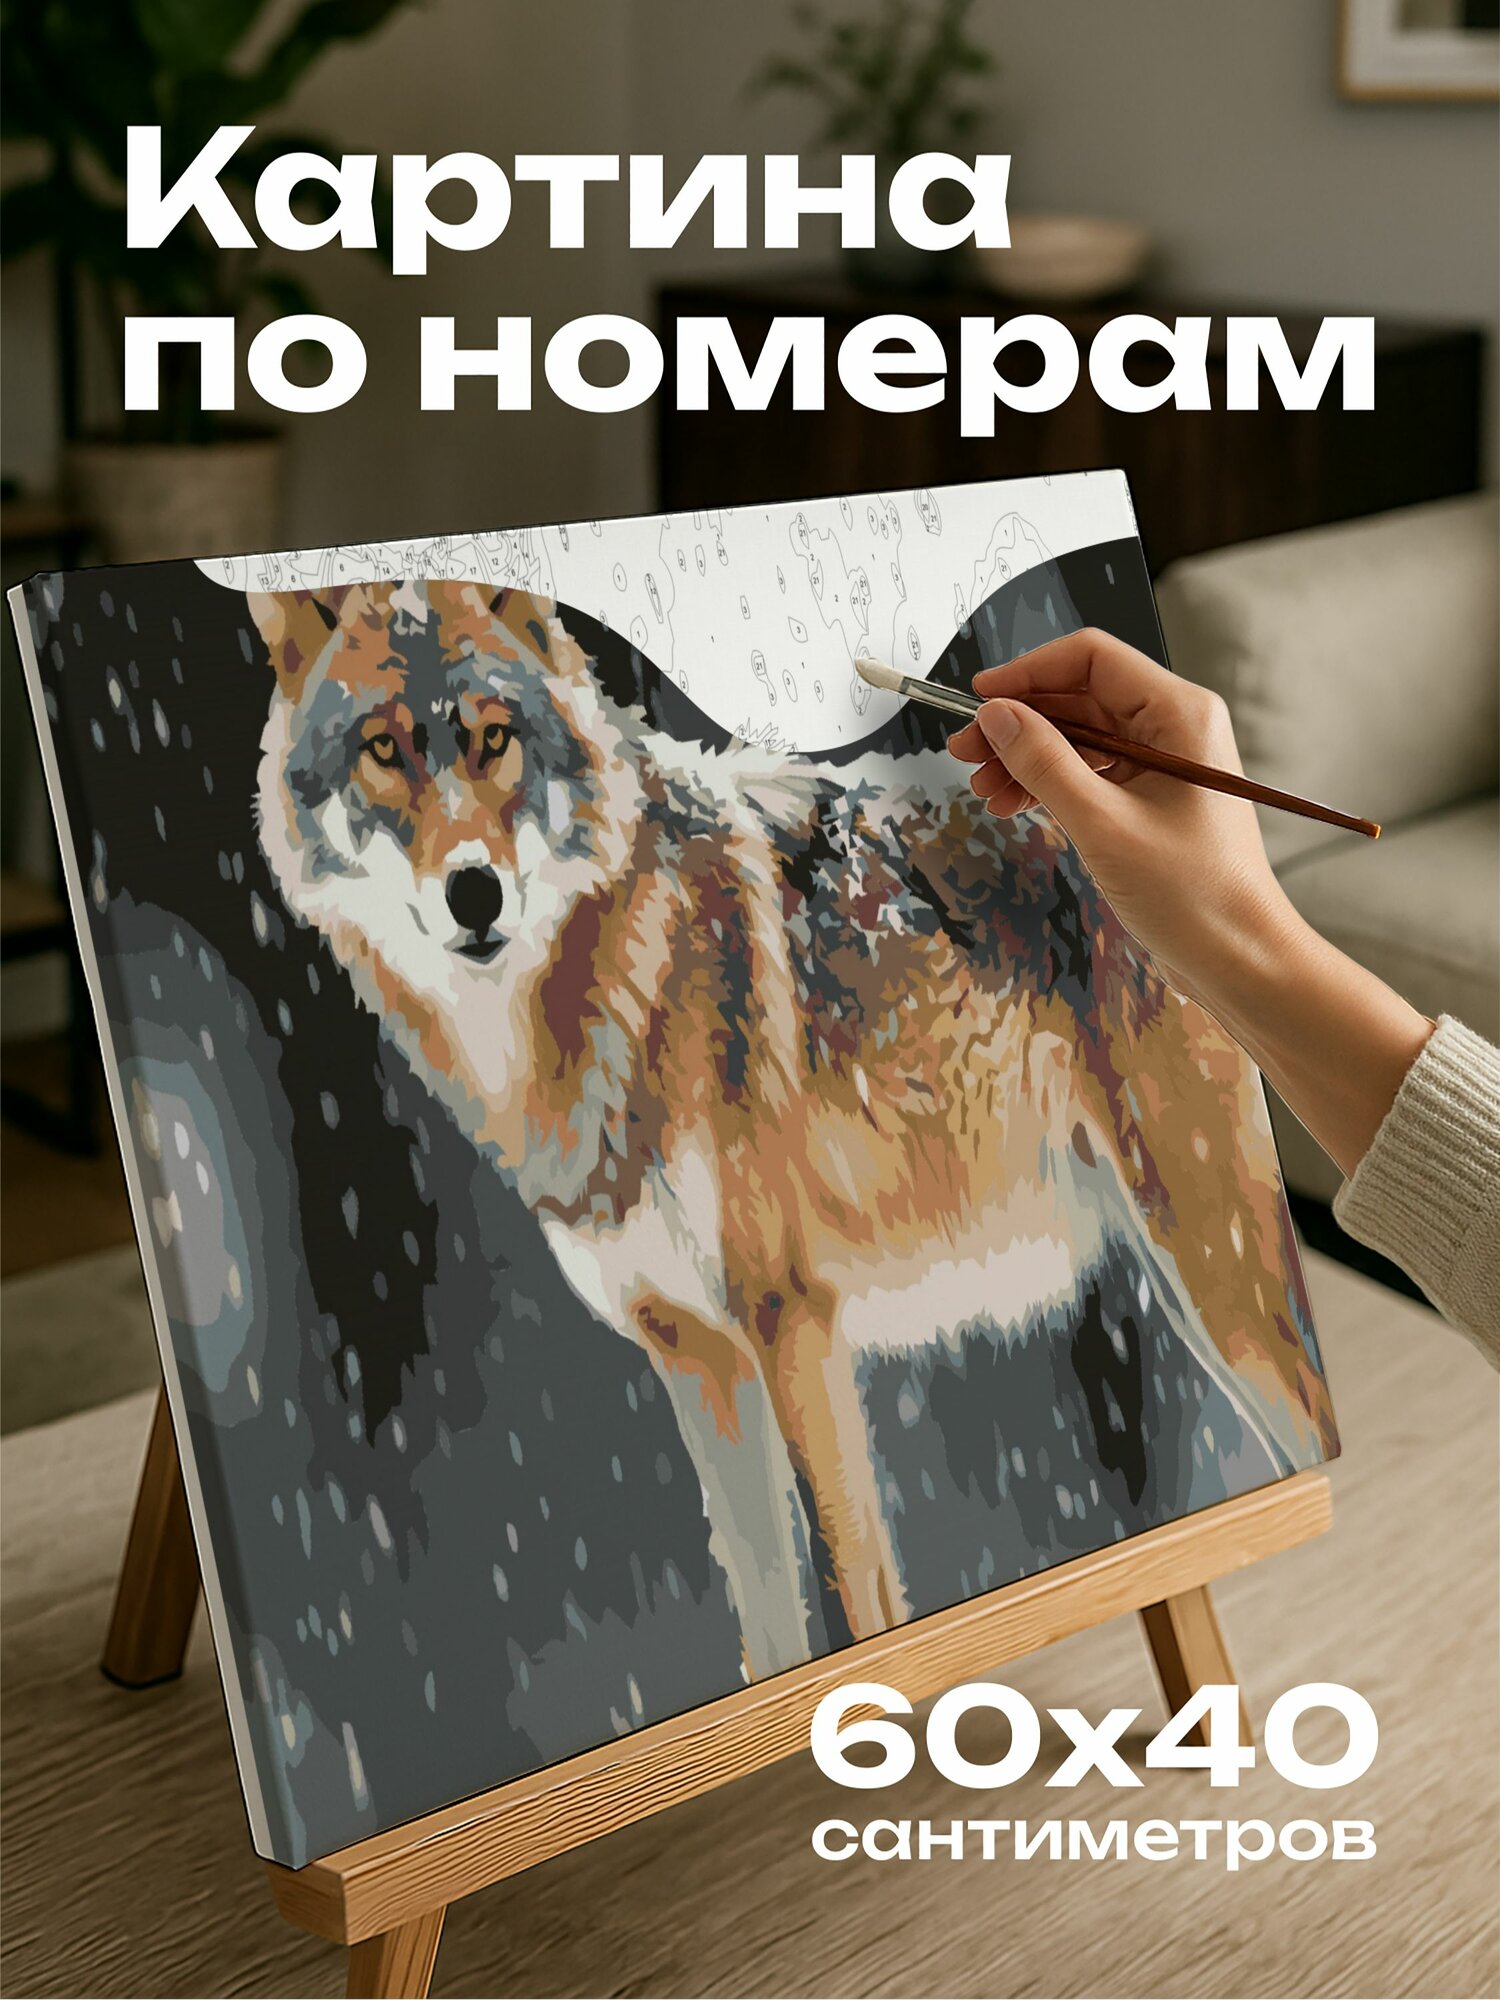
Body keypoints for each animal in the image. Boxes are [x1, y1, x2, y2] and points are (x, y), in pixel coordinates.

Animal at [251, 578, 1333, 1679]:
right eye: (384, 750)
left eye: (494, 738)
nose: (474, 893)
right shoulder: (696, 1357)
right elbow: (772, 1635)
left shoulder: (792, 1326)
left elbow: (865, 1608)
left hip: (1220, 1276)